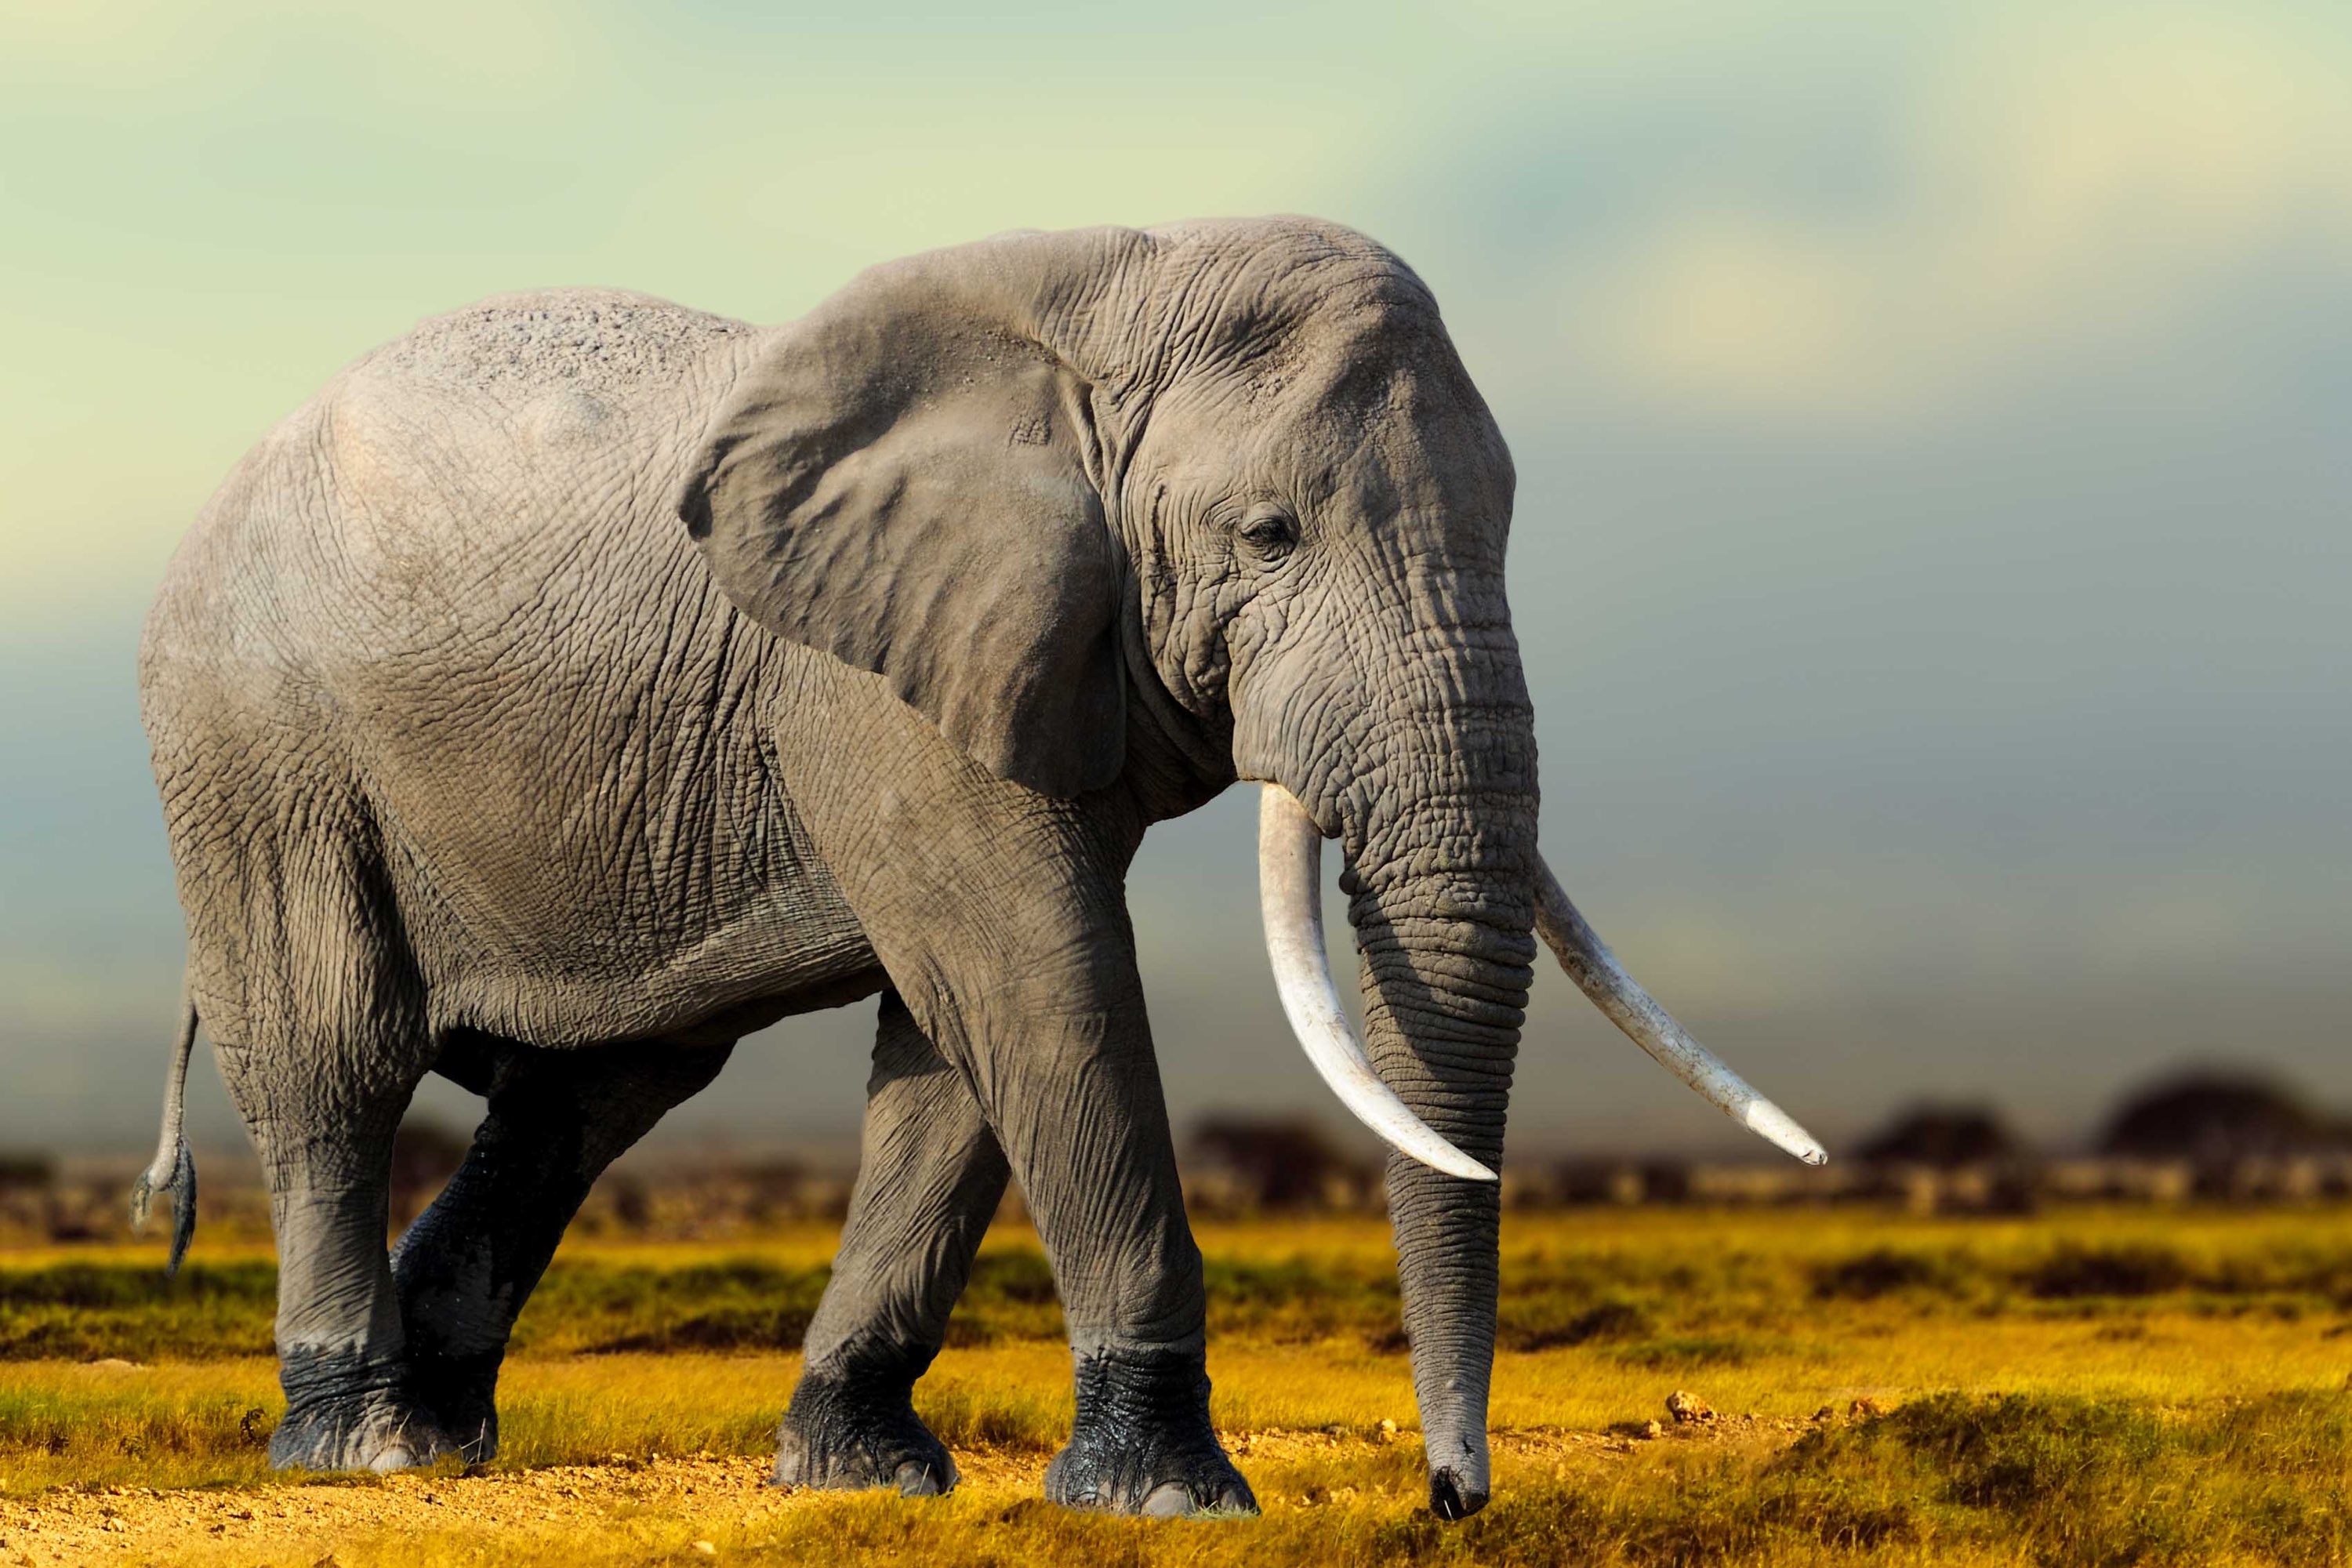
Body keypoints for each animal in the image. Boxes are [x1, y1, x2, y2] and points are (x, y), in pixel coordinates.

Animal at [132, 217, 1821, 1518]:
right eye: (1269, 533)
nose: (1453, 1497)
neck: (1115, 291)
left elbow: (959, 1043)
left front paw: (858, 1473)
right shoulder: (875, 677)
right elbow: (1039, 976)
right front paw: (1168, 1498)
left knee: (594, 1088)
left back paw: (446, 1429)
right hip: (253, 741)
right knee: (338, 1056)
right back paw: (364, 1444)